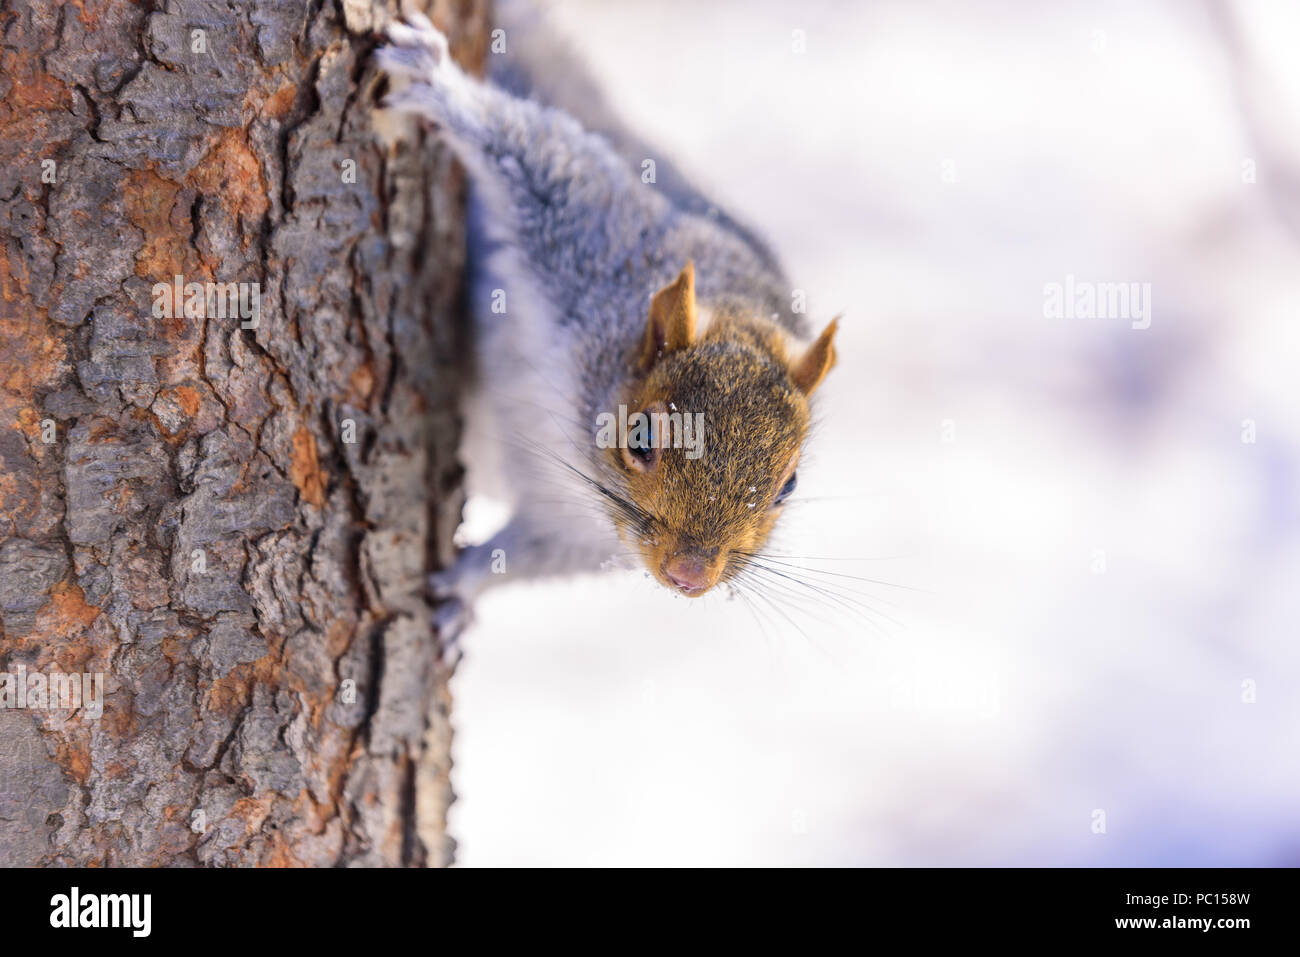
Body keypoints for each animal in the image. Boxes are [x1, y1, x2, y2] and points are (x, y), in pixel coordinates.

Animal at [375, 10, 838, 633]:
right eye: (639, 437)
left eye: (787, 486)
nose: (691, 576)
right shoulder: (592, 243)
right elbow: (540, 153)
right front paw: (438, 80)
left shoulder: (578, 531)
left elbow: (531, 554)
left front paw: (463, 593)